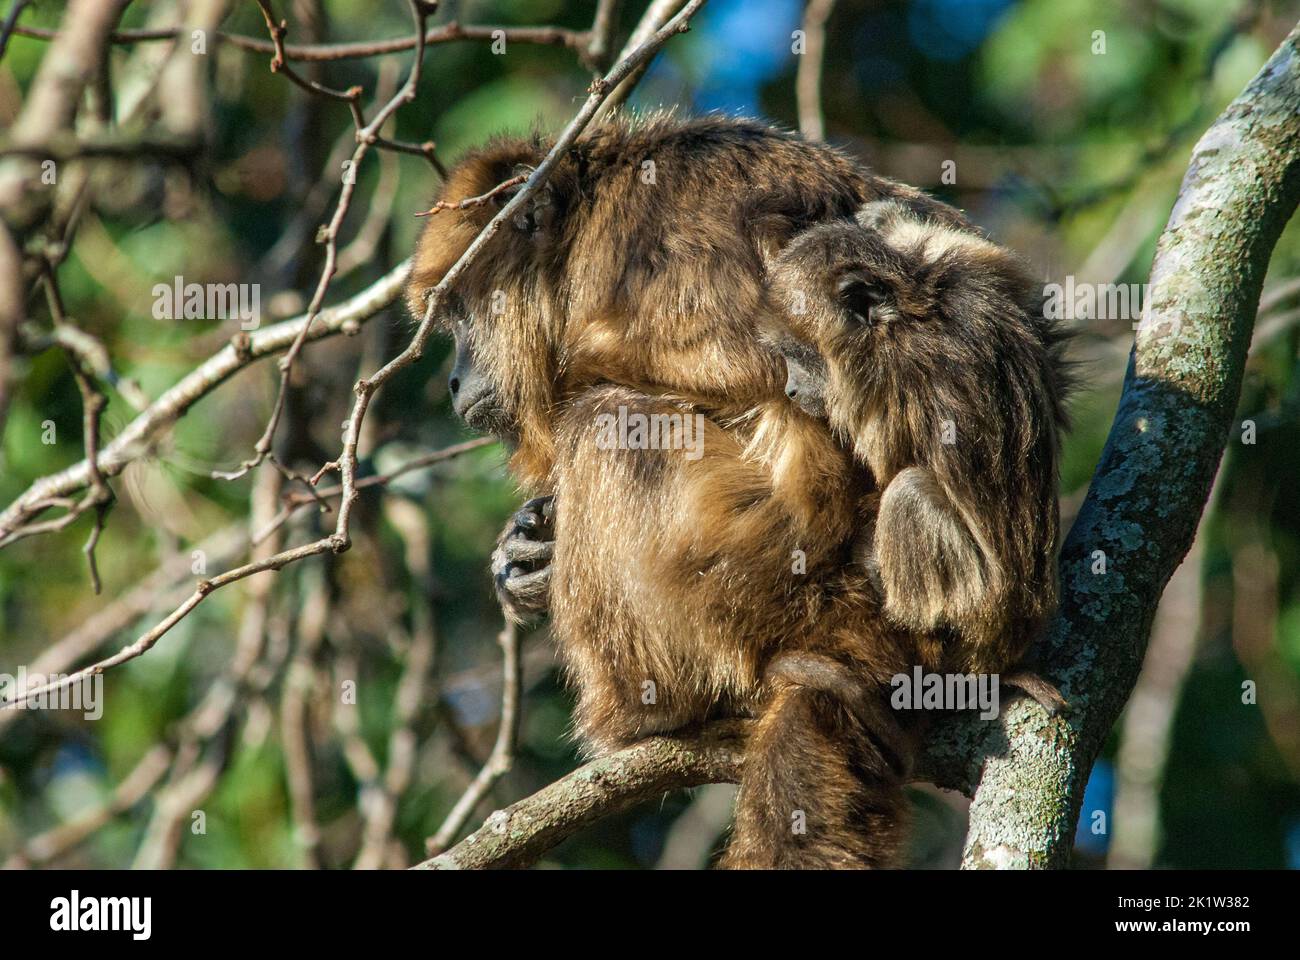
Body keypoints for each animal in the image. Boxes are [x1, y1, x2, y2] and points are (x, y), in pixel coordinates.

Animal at [407, 115, 1064, 868]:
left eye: (461, 314)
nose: (453, 378)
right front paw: (525, 552)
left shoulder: (651, 240)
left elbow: (777, 402)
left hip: (782, 584)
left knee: (609, 422)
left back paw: (642, 715)